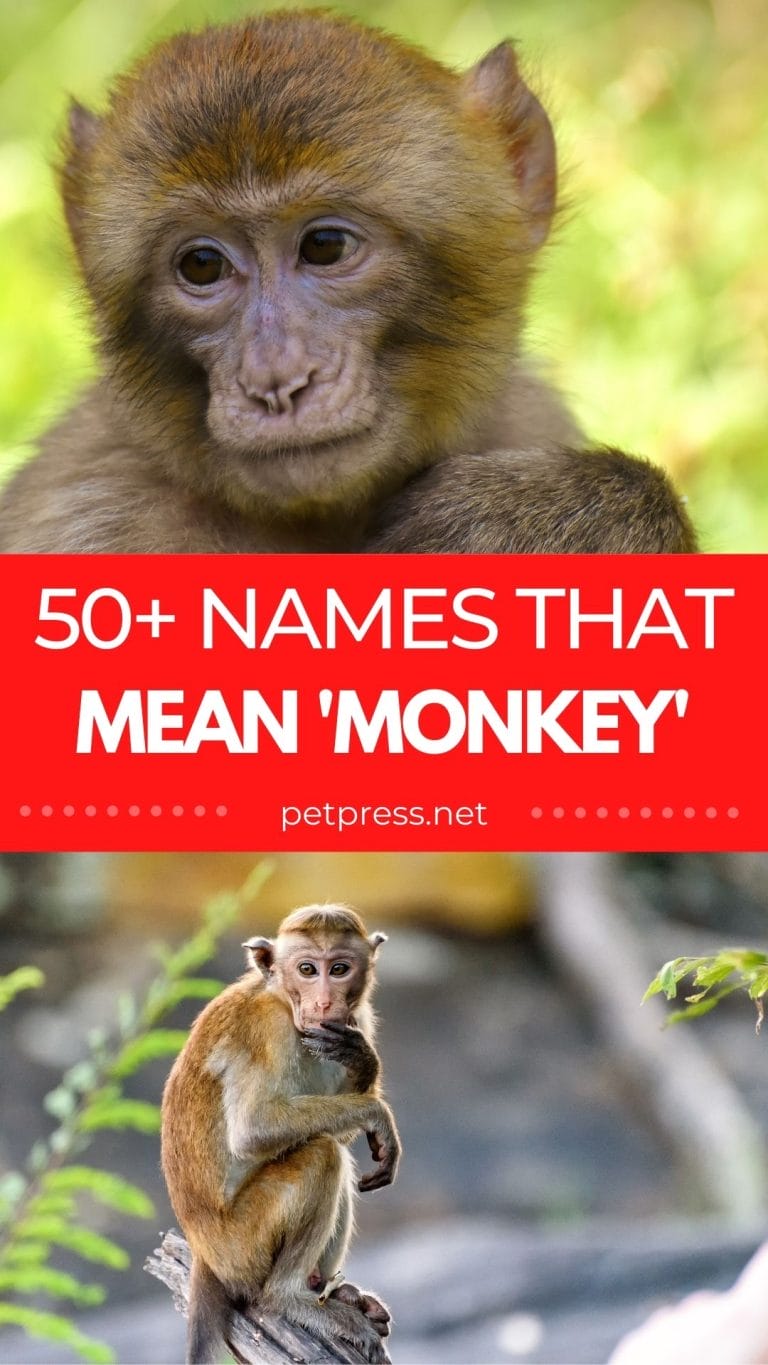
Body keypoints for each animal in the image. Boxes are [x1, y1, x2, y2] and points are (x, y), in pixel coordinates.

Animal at [161, 903, 401, 1365]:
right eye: (307, 969)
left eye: (339, 969)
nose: (324, 1001)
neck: (283, 999)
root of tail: (204, 1255)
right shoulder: (267, 1030)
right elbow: (254, 1130)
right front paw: (377, 1113)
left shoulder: (353, 1021)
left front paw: (364, 1062)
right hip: (243, 1247)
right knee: (321, 1155)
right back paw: (288, 1299)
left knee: (327, 1147)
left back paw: (333, 1290)